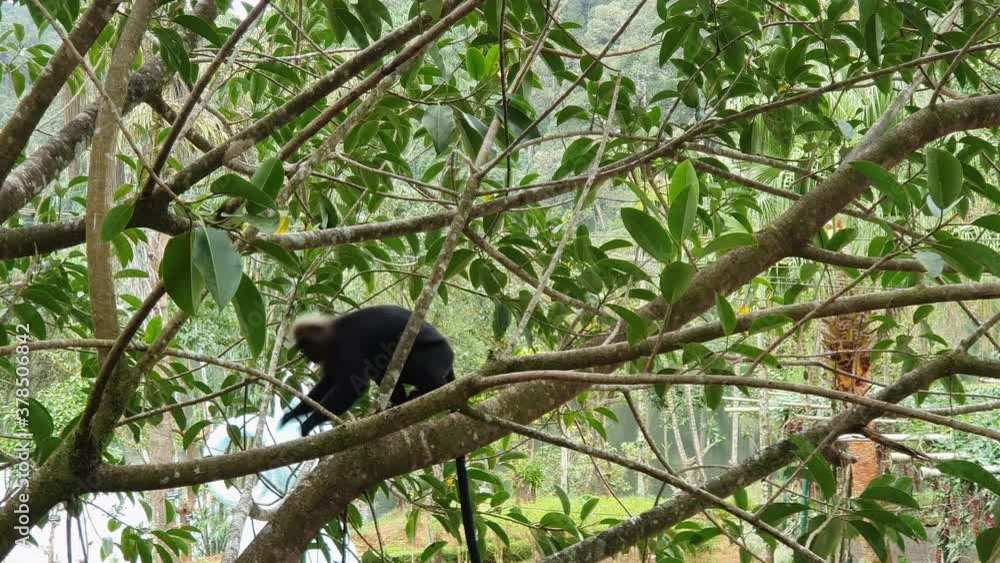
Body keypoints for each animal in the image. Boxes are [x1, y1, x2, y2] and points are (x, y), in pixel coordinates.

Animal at [280, 305, 481, 563]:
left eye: (306, 346)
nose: (306, 358)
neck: (333, 333)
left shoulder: (347, 346)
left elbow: (353, 385)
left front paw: (308, 423)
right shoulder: (333, 359)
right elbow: (325, 385)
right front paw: (292, 414)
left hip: (436, 356)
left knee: (414, 366)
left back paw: (426, 392)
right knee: (385, 370)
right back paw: (398, 403)